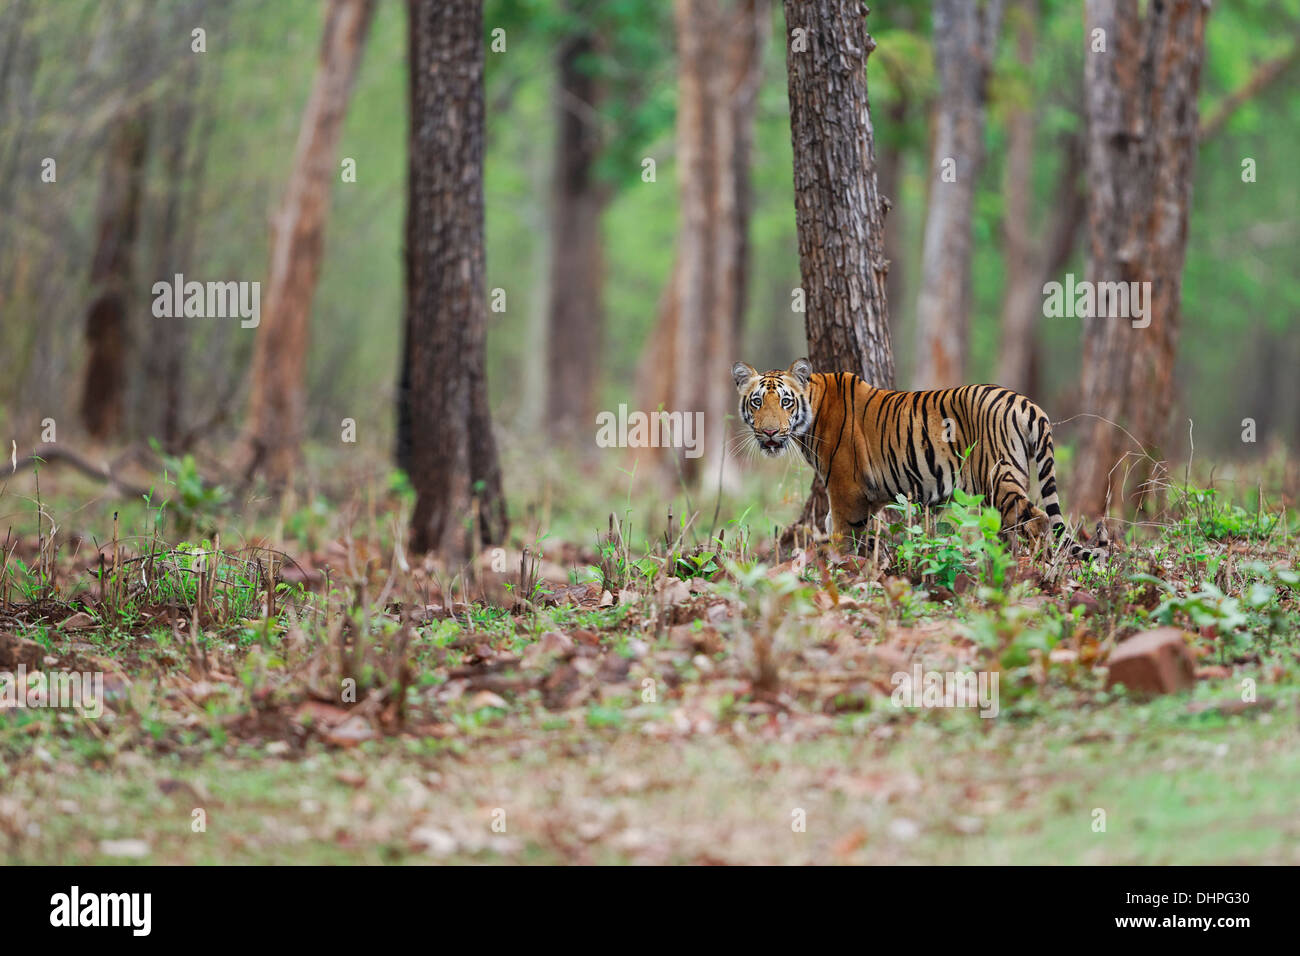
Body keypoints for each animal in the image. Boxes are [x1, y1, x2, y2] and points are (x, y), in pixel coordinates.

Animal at [731, 358, 1107, 561]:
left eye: (785, 402)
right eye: (756, 402)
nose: (769, 432)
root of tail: (1027, 403)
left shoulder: (844, 488)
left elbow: (839, 532)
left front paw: (838, 568)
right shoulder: (872, 495)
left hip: (999, 477)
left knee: (1038, 520)